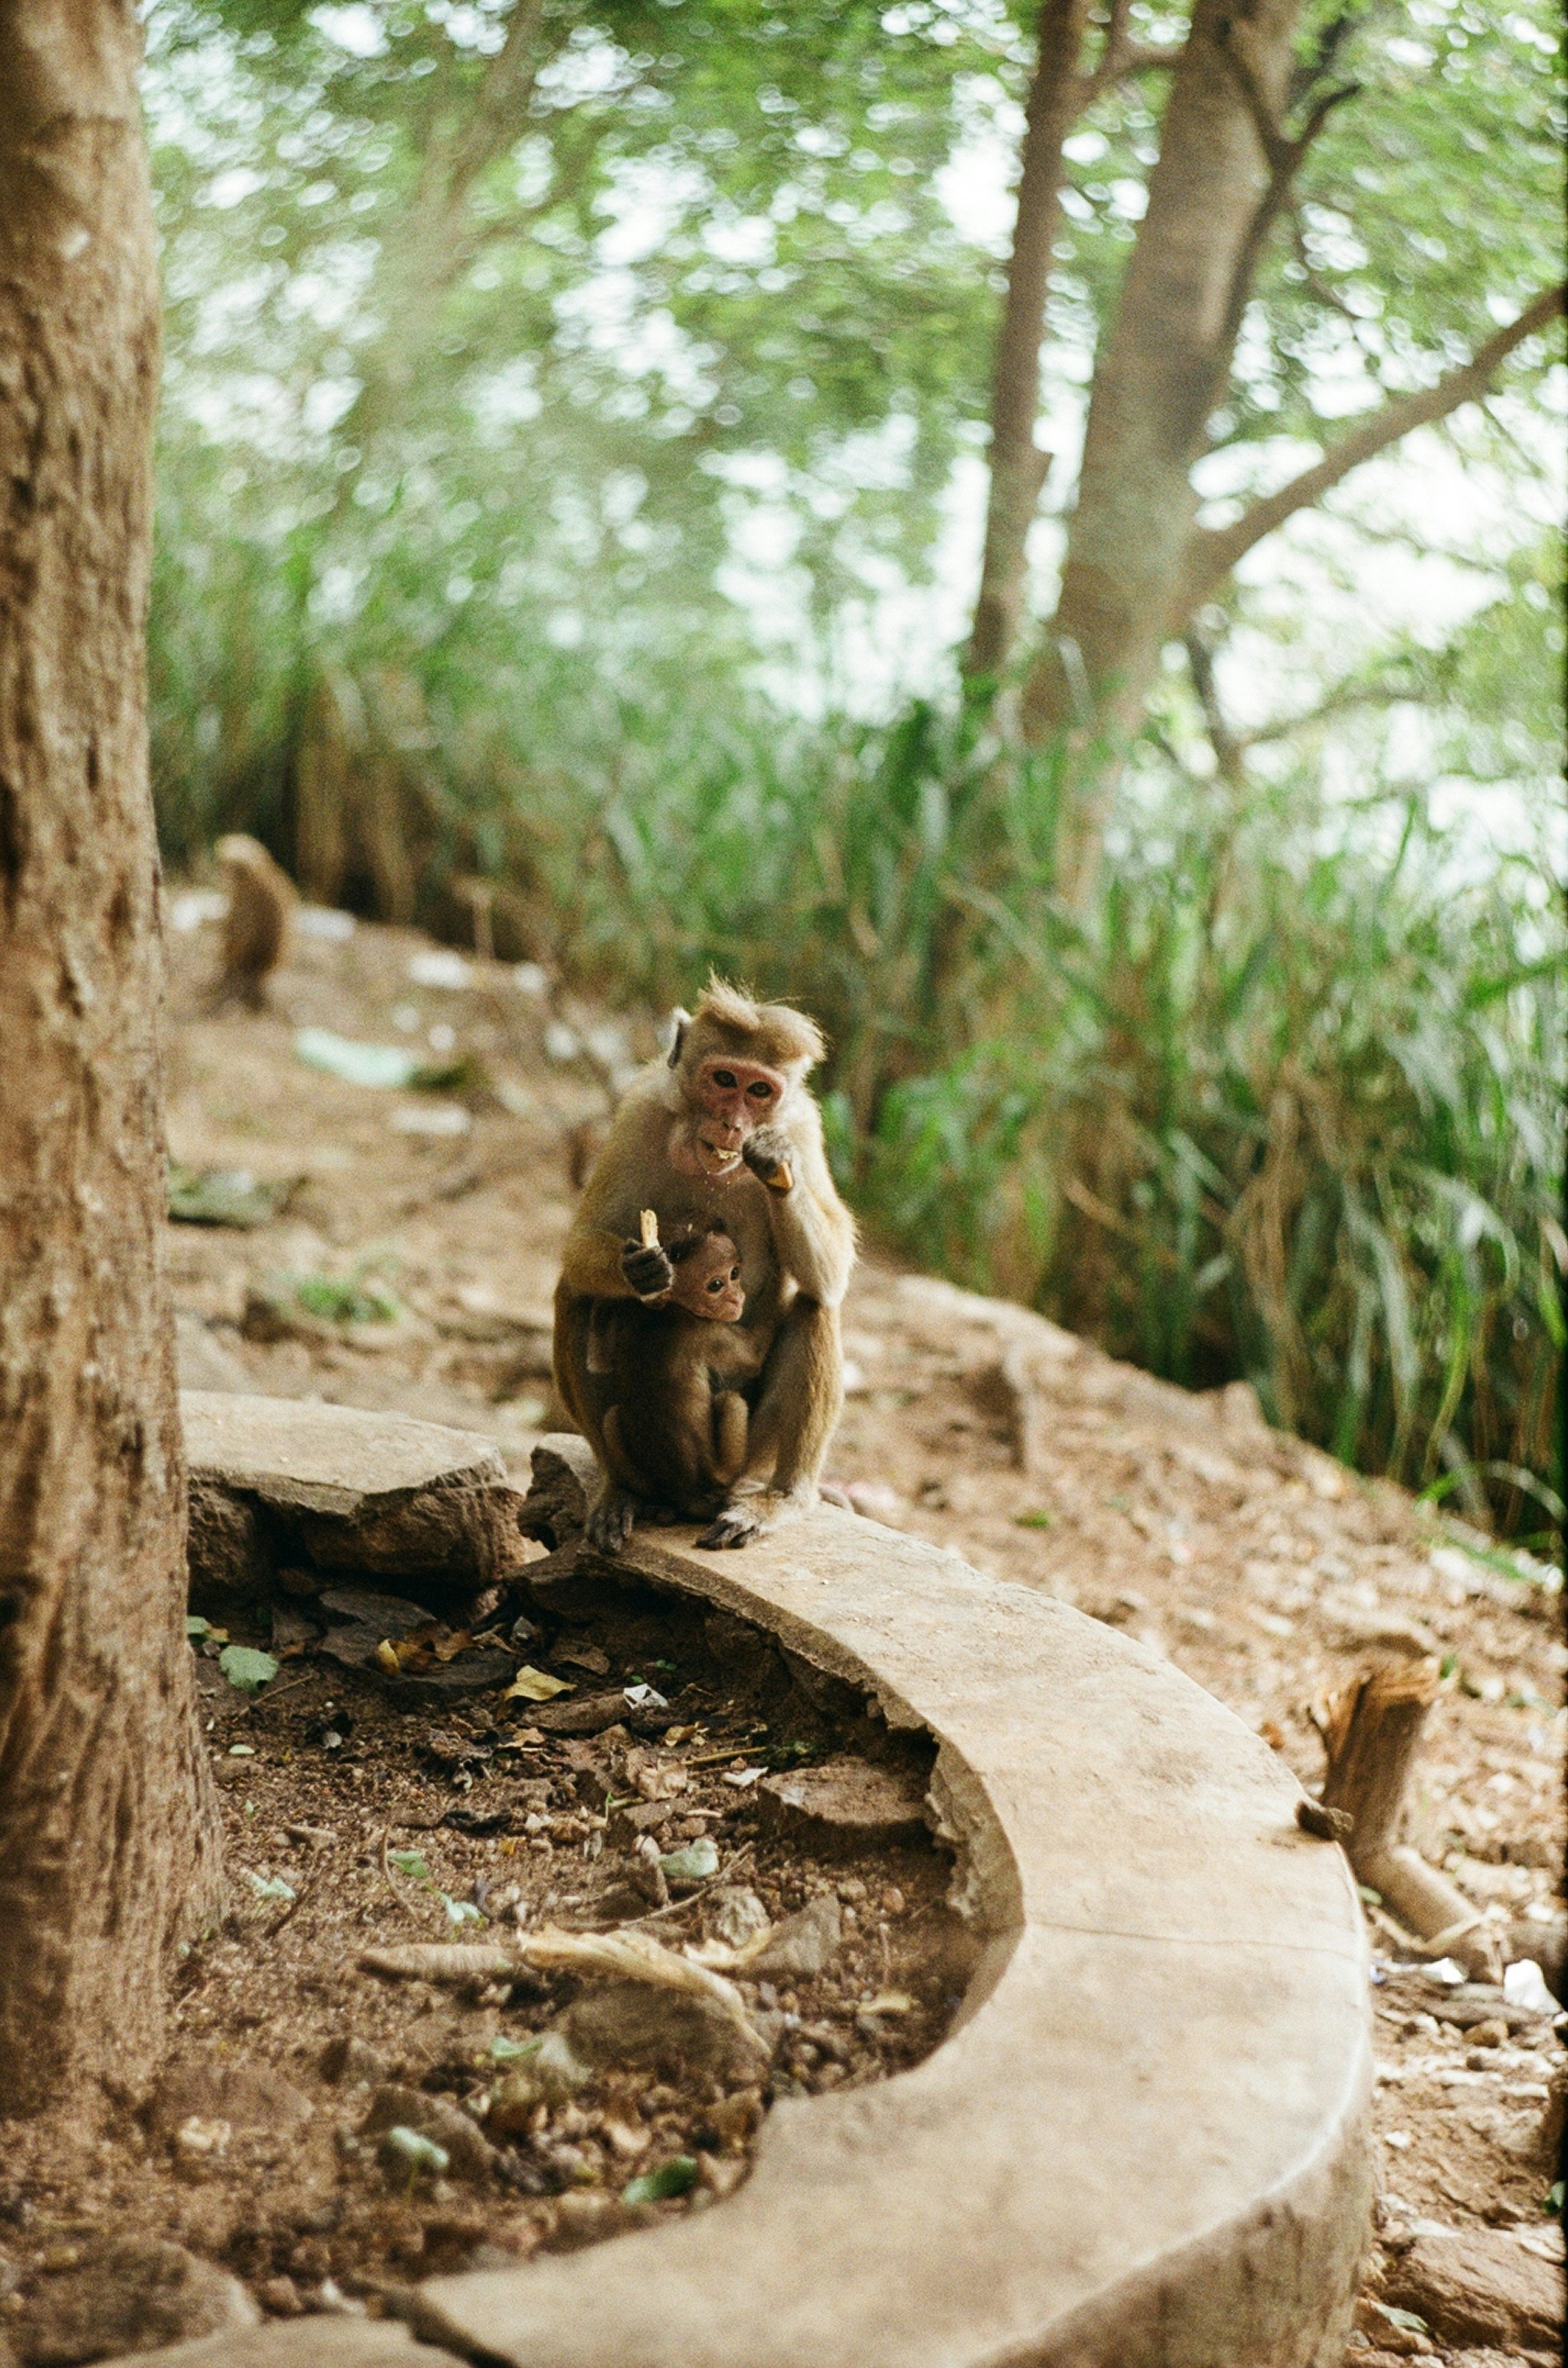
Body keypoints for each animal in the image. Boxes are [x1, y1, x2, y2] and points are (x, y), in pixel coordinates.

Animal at [589, 1221, 762, 1522]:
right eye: (716, 1285)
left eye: (735, 1273)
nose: (736, 1298)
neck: (671, 1309)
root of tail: (686, 1496)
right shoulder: (710, 1332)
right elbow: (756, 1356)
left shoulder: (629, 1315)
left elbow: (597, 1360)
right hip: (722, 1473)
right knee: (730, 1400)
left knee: (611, 1417)